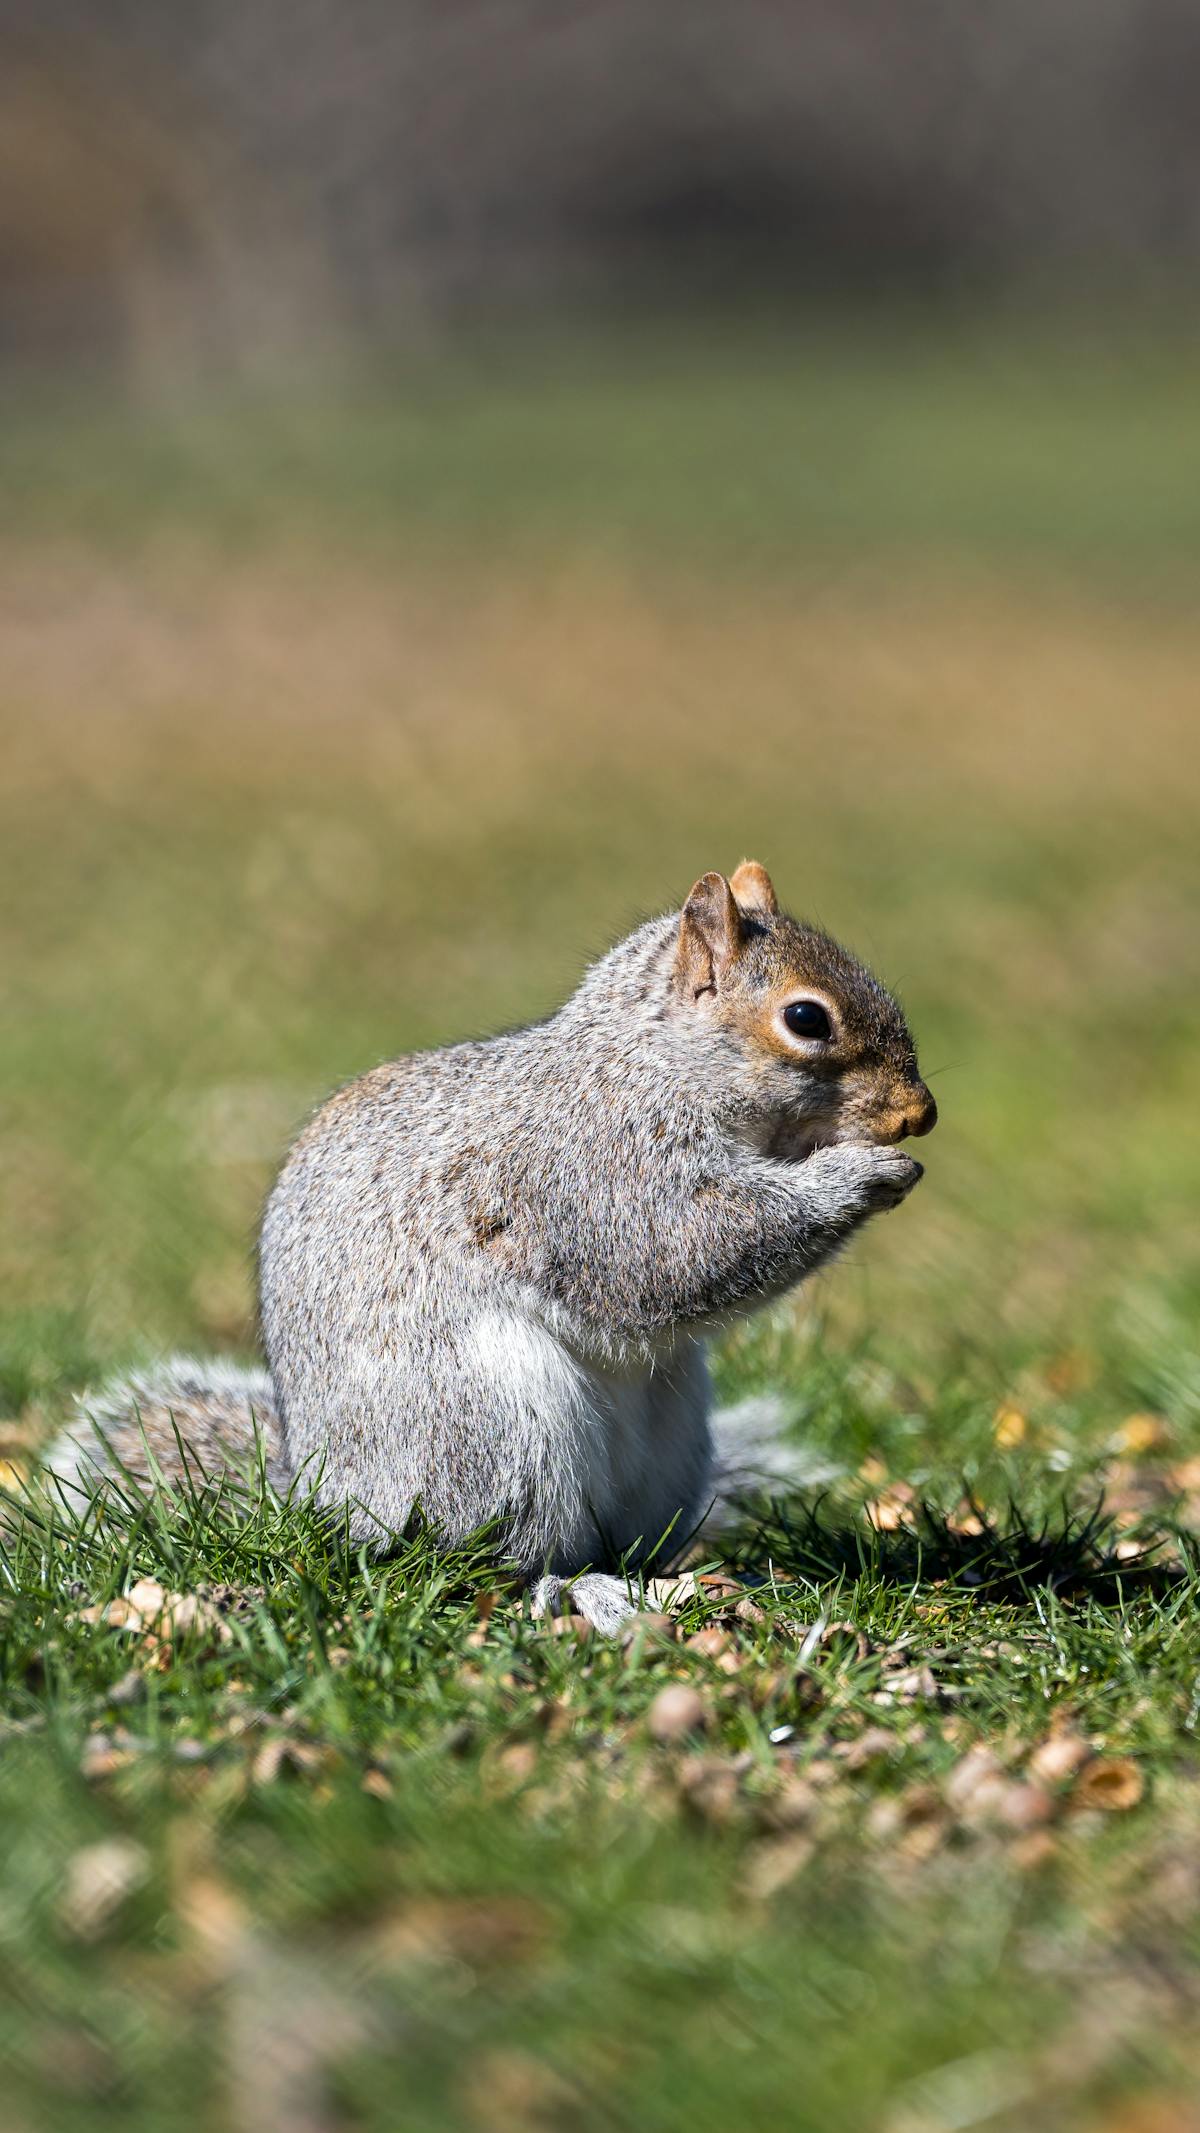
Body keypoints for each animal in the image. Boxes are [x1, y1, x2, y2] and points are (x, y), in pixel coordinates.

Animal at [47, 863, 936, 1634]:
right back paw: (569, 1588)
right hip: (493, 1432)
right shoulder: (595, 1171)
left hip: (672, 1442)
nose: (919, 1114)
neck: (650, 1063)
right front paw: (858, 1173)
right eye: (806, 1019)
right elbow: (677, 1250)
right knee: (483, 1560)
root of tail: (323, 1497)